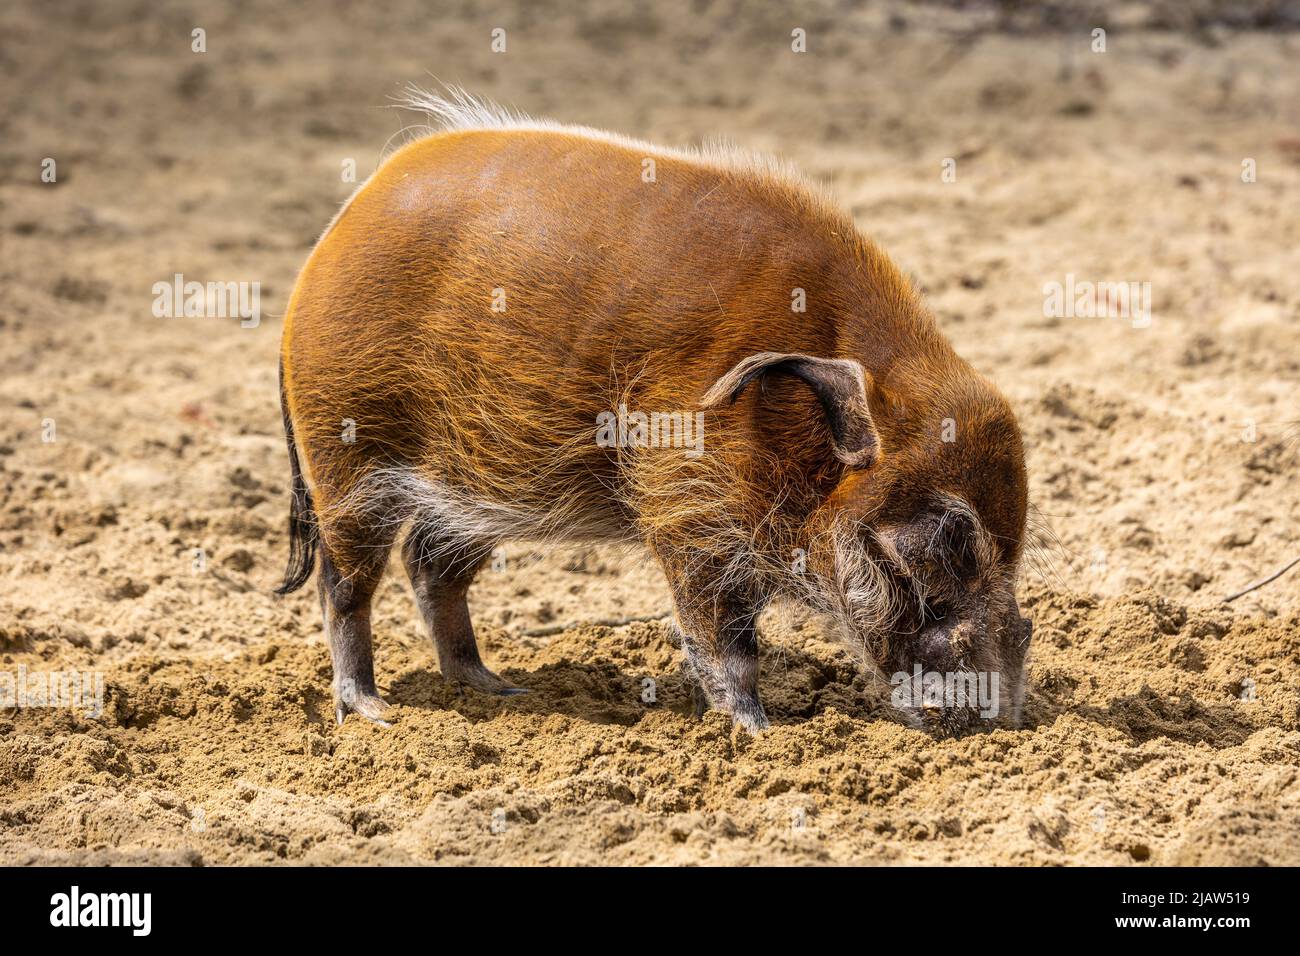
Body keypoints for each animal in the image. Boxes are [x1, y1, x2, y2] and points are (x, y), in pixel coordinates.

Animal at [275, 88, 1032, 734]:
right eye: (942, 542)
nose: (1006, 723)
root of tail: (332, 235)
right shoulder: (690, 509)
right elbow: (723, 636)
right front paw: (755, 733)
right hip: (345, 457)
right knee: (344, 585)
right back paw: (370, 711)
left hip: (466, 486)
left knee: (430, 568)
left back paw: (496, 689)